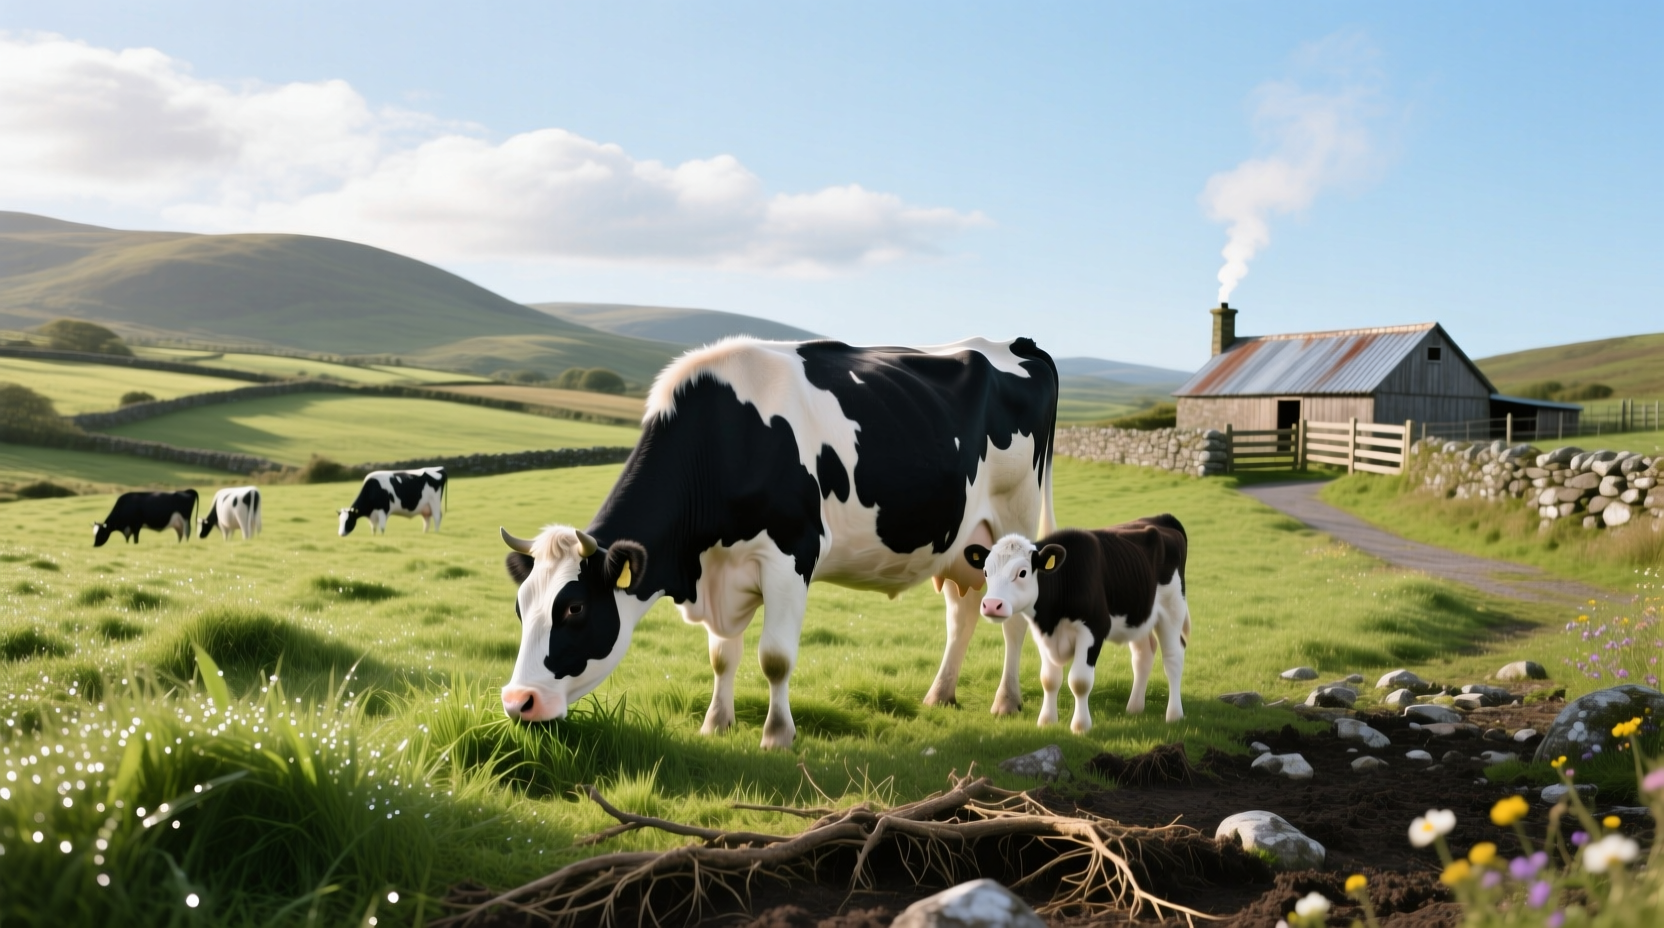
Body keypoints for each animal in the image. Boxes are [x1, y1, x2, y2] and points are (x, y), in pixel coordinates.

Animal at [498, 336, 1058, 749]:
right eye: (521, 607)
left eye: (574, 608)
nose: (518, 701)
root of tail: (1017, 343)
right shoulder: (720, 569)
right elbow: (722, 656)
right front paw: (716, 723)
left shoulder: (790, 556)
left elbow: (775, 657)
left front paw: (777, 735)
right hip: (962, 545)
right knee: (962, 615)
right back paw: (940, 695)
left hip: (1015, 519)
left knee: (1012, 619)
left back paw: (1006, 702)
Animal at [963, 514, 1190, 735]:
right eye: (985, 571)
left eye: (1022, 572)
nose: (992, 605)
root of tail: (1161, 518)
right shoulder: (1042, 633)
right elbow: (1049, 679)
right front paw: (1047, 721)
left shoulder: (1094, 629)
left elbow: (1080, 681)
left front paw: (1080, 726)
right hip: (1138, 615)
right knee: (1143, 655)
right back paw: (1134, 708)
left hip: (1172, 609)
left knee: (1173, 658)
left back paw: (1174, 715)